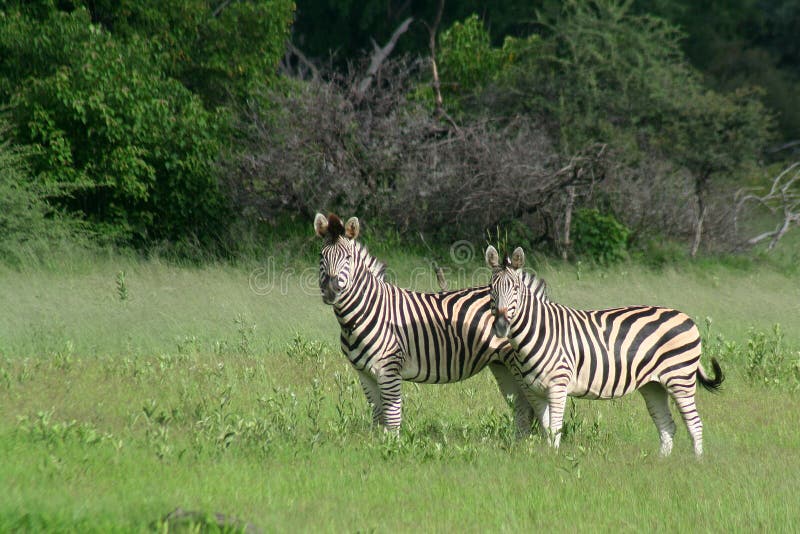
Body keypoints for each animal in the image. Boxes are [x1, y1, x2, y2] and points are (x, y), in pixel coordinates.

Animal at [314, 212, 533, 434]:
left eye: (348, 258)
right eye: (321, 256)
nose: (331, 291)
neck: (366, 313)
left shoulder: (389, 370)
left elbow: (392, 421)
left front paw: (392, 443)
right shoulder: (364, 374)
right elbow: (377, 419)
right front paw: (377, 441)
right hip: (501, 364)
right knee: (522, 406)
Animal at [485, 245, 724, 457]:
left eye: (516, 289)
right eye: (490, 289)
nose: (501, 326)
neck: (539, 331)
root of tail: (686, 317)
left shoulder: (558, 386)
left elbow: (555, 429)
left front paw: (553, 460)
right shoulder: (533, 390)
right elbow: (546, 429)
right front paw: (546, 459)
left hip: (680, 378)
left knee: (694, 424)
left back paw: (697, 462)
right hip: (653, 385)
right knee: (667, 425)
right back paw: (661, 463)